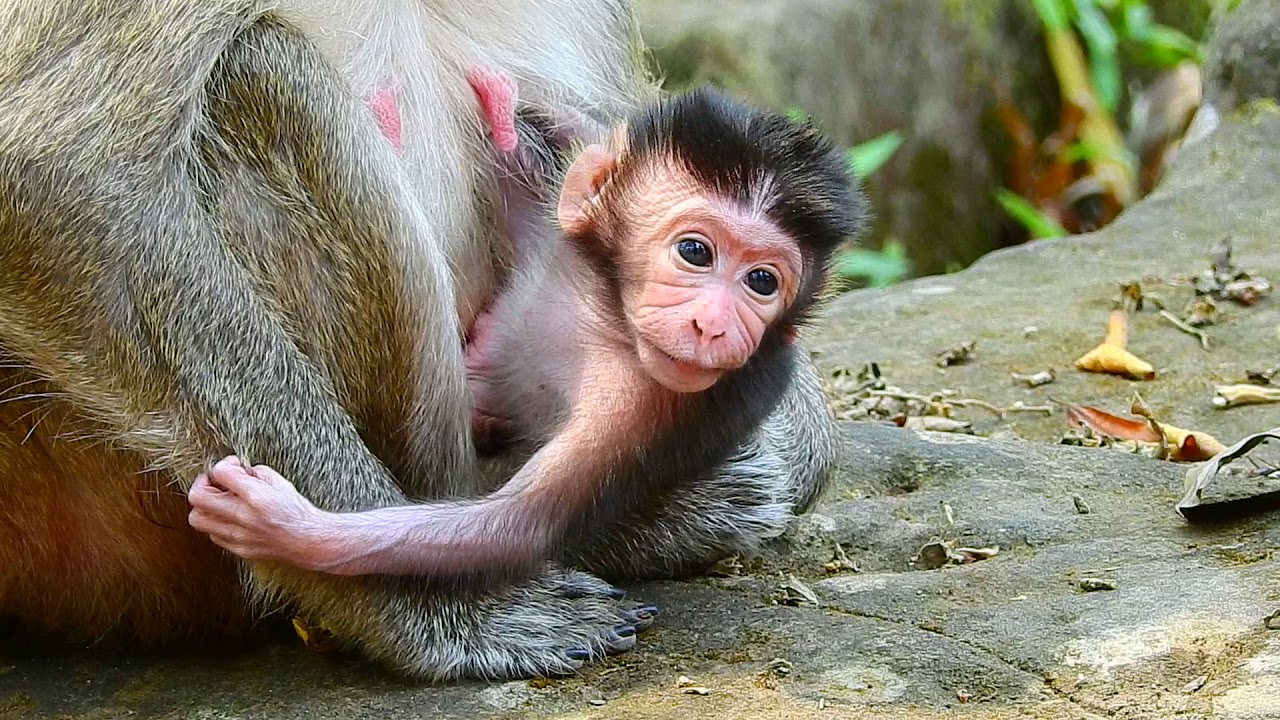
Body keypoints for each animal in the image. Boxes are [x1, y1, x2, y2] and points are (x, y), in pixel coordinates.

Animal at [184, 83, 861, 583]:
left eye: (762, 283)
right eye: (695, 251)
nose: (716, 326)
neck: (606, 313)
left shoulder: (645, 403)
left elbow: (520, 525)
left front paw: (285, 528)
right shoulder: (559, 238)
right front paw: (505, 116)